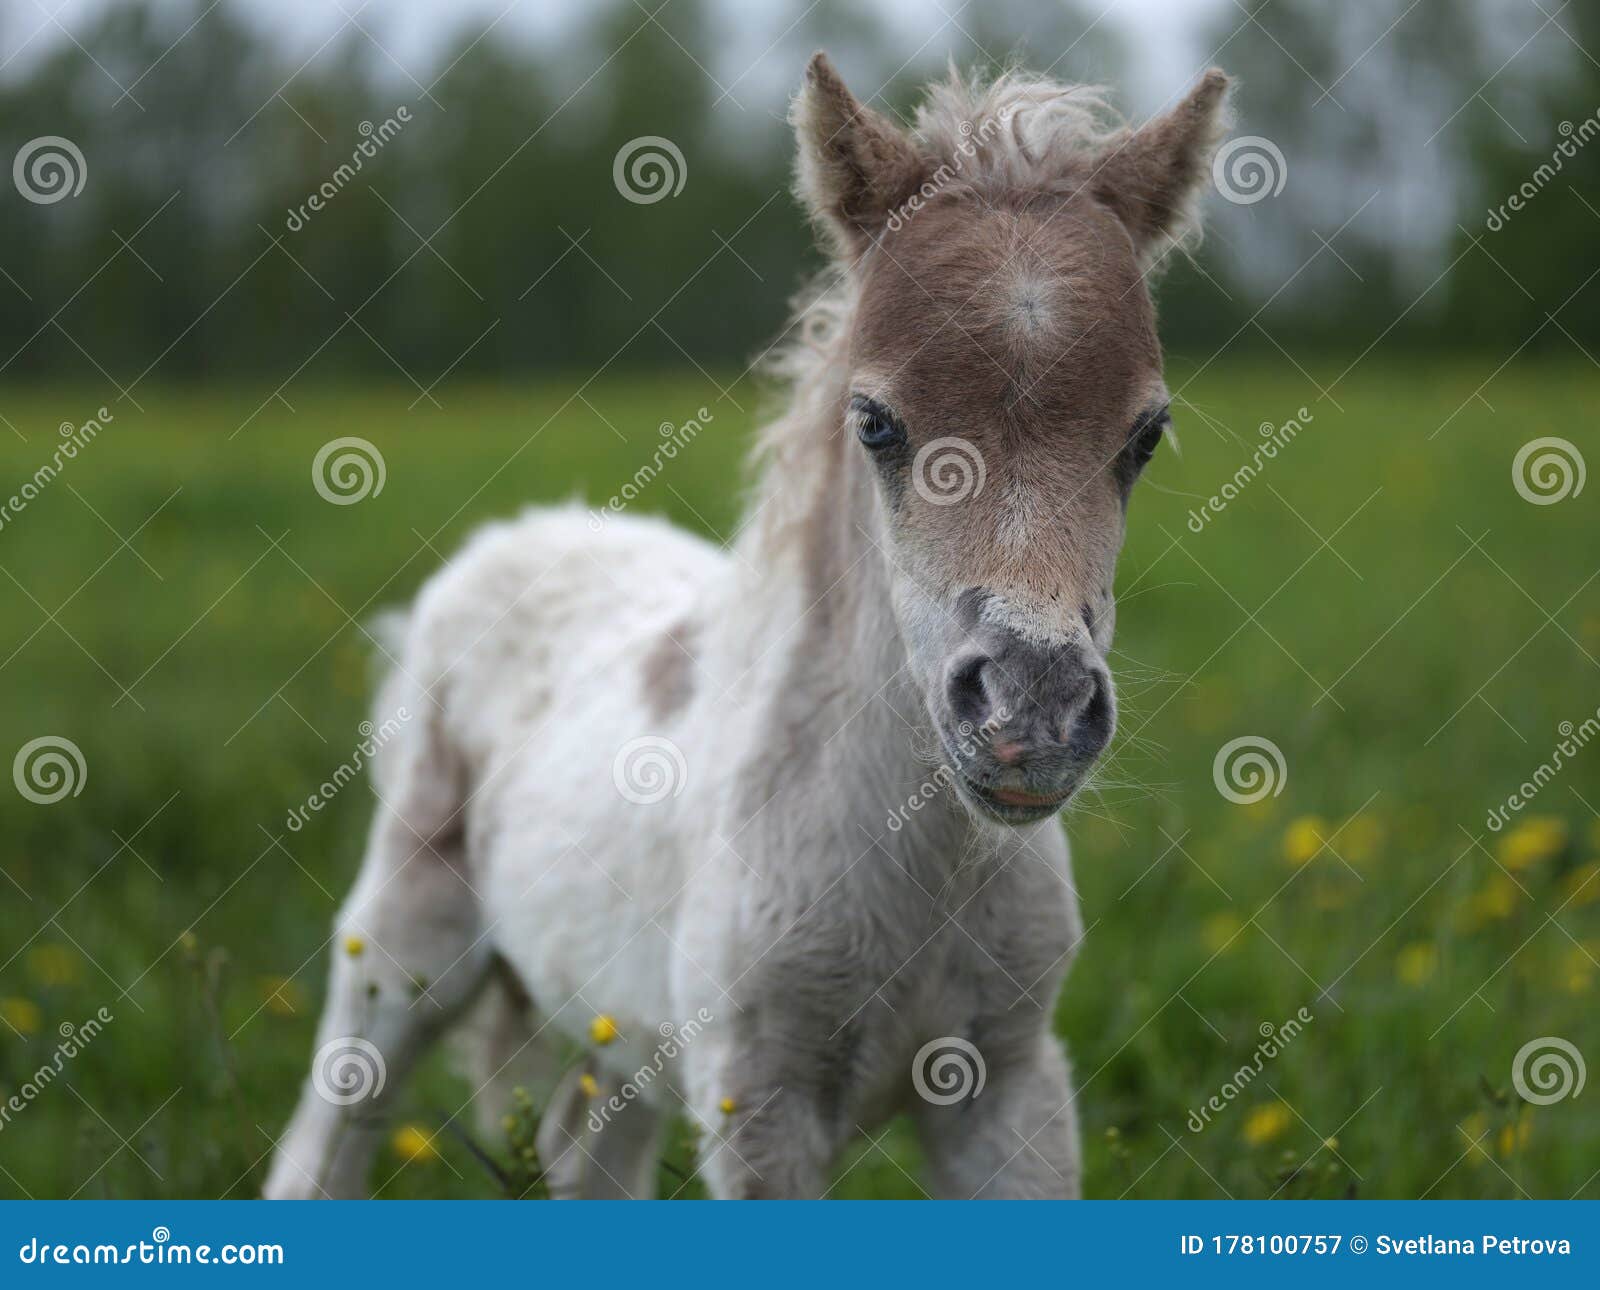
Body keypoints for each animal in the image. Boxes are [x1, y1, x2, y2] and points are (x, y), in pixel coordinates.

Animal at [265, 51, 1232, 1200]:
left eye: (1146, 435)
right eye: (875, 423)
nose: (1030, 711)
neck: (914, 866)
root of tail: (514, 537)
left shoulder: (1009, 1083)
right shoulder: (755, 1102)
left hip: (621, 1036)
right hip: (401, 942)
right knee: (327, 1138)